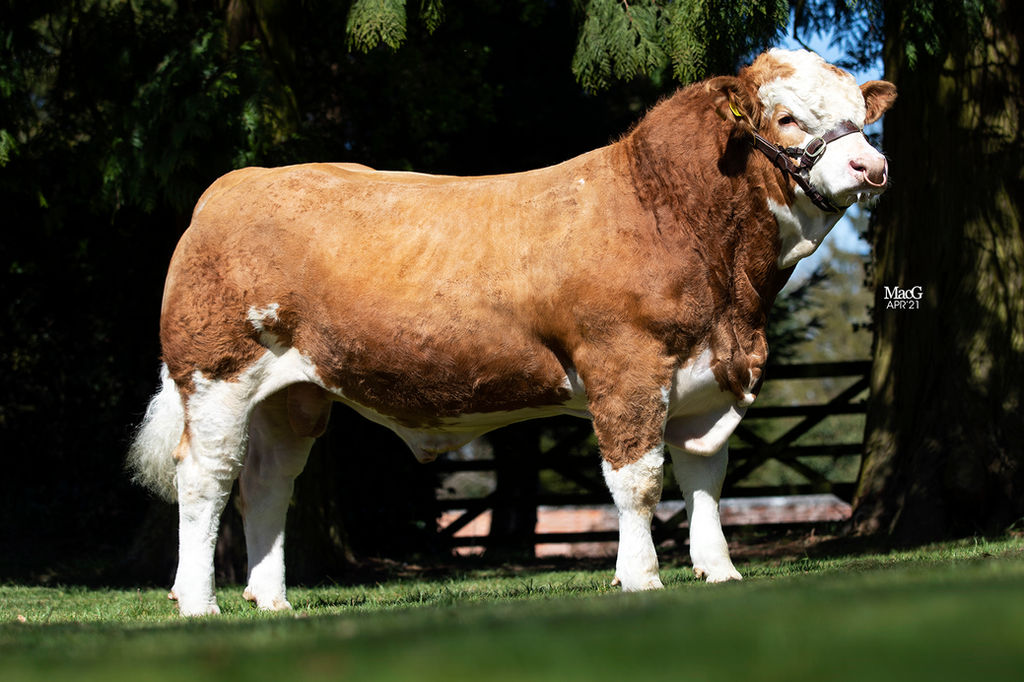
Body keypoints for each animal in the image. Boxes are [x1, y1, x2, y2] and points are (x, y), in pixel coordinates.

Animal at [128, 48, 896, 616]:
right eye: (787, 117)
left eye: (859, 116)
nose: (872, 166)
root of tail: (231, 187)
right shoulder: (626, 366)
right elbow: (638, 480)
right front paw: (641, 578)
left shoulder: (711, 377)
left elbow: (704, 476)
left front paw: (720, 572)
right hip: (216, 371)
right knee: (205, 476)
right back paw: (198, 603)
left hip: (293, 395)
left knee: (267, 482)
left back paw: (272, 601)